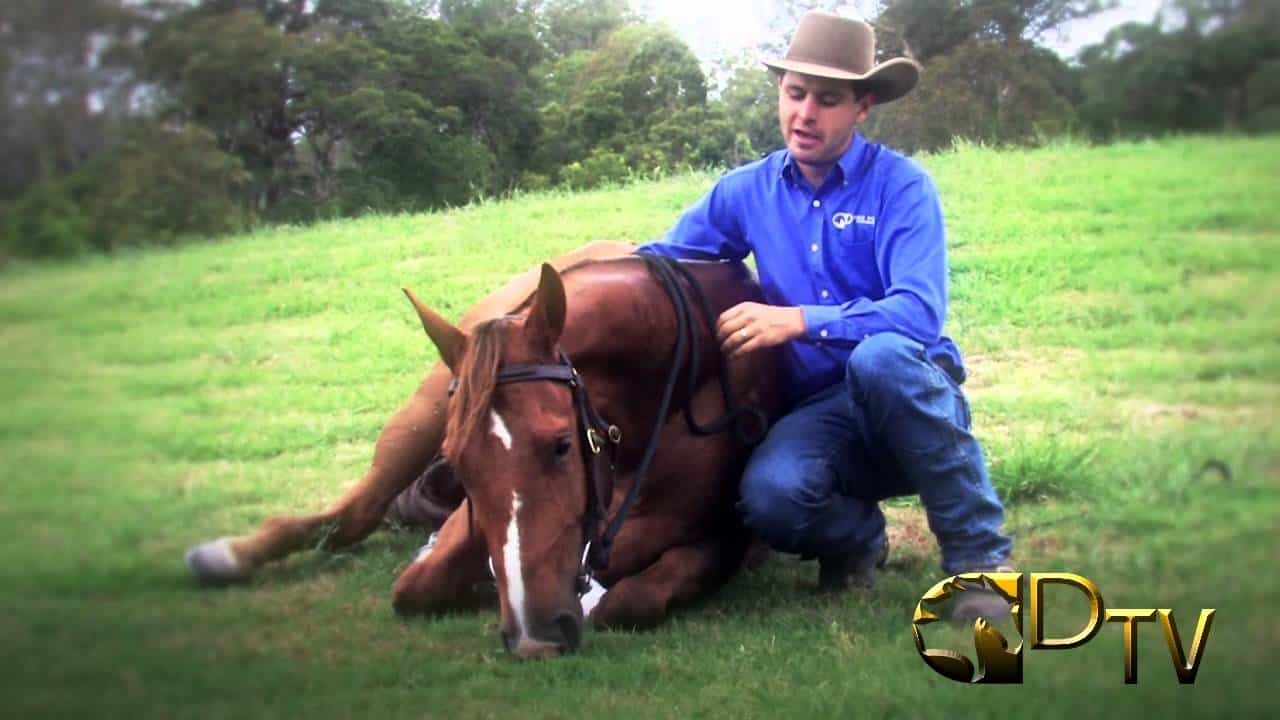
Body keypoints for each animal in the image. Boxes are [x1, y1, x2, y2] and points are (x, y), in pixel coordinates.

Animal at [187, 251, 780, 658]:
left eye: (562, 445)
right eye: (460, 463)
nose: (536, 637)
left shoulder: (722, 539)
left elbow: (629, 601)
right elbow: (415, 587)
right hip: (424, 413)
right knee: (356, 512)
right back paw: (227, 555)